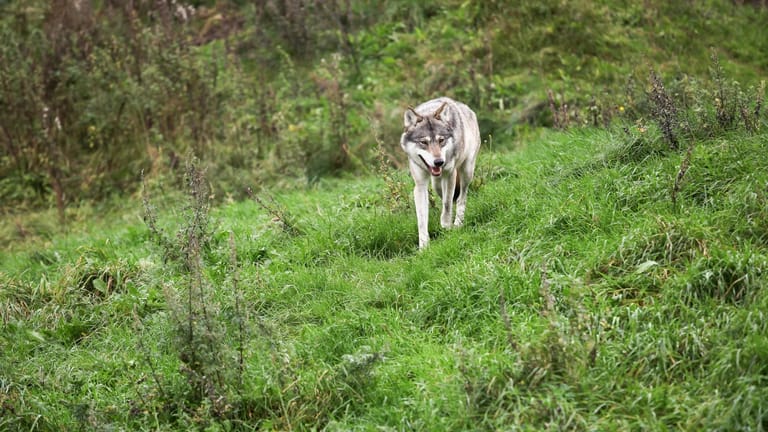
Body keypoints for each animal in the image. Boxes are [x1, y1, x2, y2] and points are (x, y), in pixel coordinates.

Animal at [400, 97, 481, 249]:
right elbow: (422, 219)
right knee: (445, 195)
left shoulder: (450, 175)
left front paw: (446, 225)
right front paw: (424, 247)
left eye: (441, 140)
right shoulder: (420, 186)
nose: (439, 162)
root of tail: (468, 108)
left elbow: (447, 204)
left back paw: (458, 223)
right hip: (436, 183)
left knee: (461, 198)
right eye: (423, 142)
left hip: (466, 171)